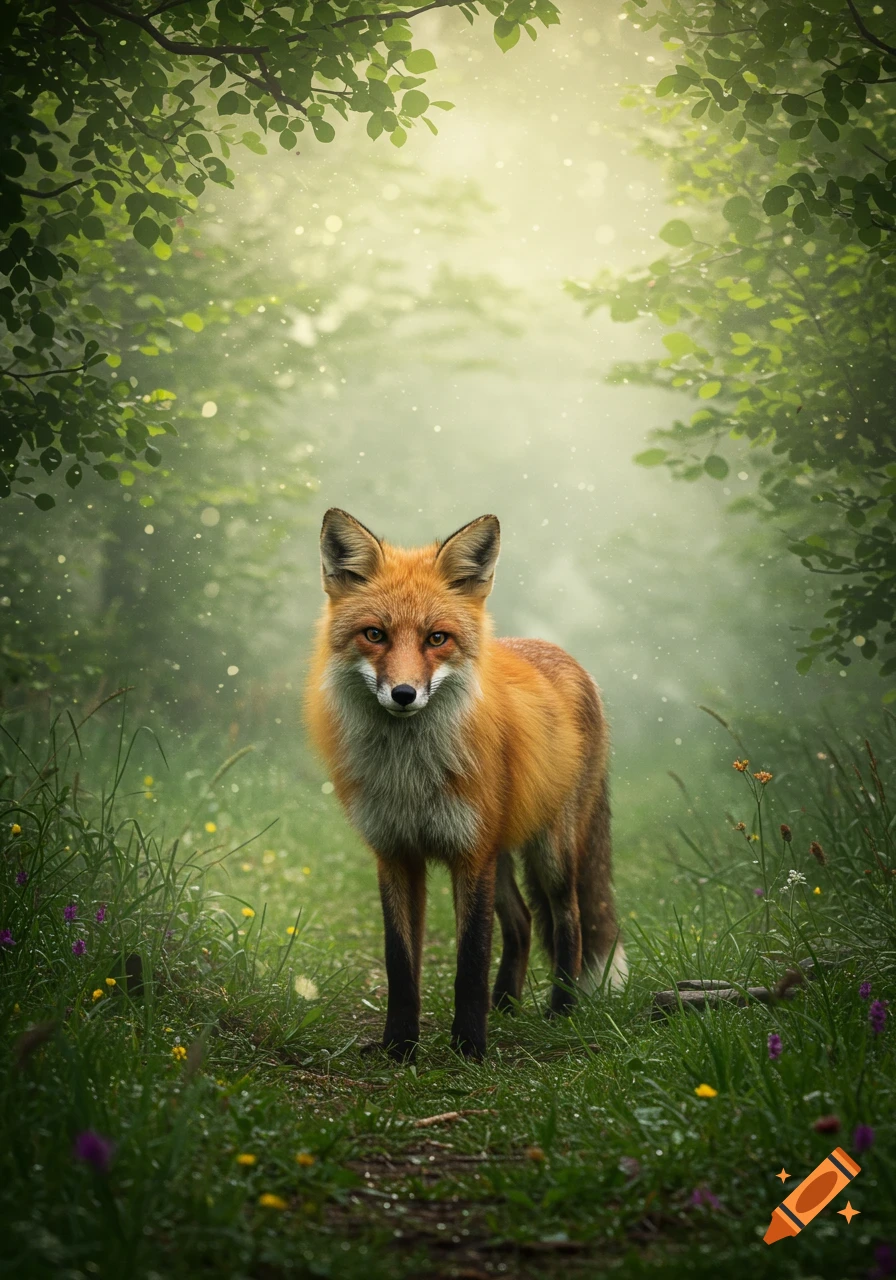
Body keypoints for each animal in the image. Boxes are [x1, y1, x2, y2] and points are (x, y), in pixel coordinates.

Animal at [306, 508, 625, 1062]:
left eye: (437, 639)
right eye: (375, 634)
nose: (404, 694)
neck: (411, 776)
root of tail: (559, 652)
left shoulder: (470, 854)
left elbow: (470, 962)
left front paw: (470, 1047)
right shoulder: (396, 853)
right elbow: (400, 965)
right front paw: (399, 1047)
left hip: (550, 851)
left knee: (569, 919)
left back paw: (560, 1010)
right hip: (501, 857)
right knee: (521, 922)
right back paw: (506, 1005)